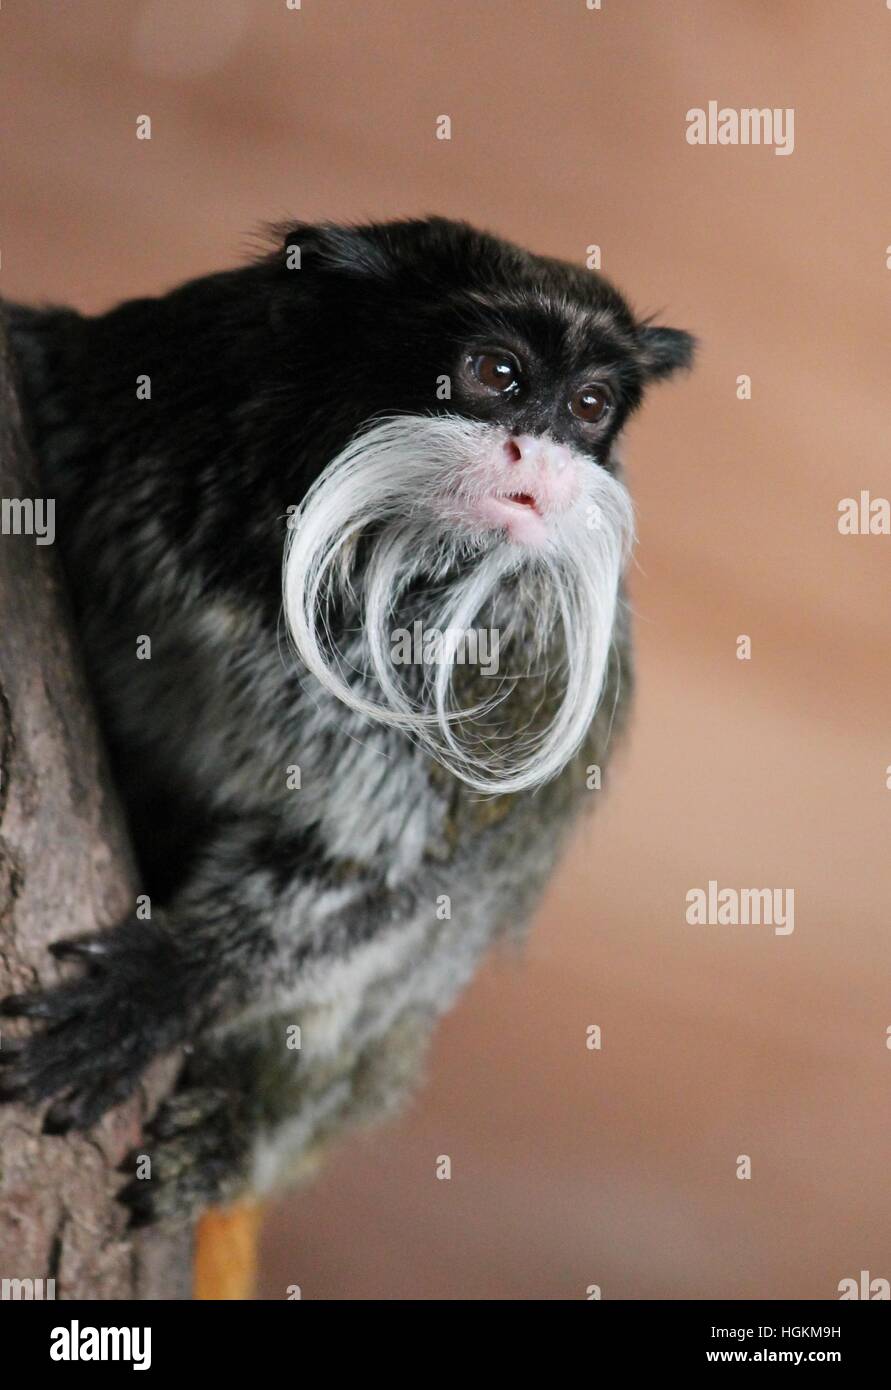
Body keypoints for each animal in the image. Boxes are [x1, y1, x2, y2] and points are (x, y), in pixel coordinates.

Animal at [0, 217, 693, 1223]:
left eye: (590, 404)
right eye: (496, 373)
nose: (544, 462)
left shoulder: (519, 661)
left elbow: (384, 875)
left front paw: (165, 984)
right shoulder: (117, 395)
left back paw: (243, 1116)